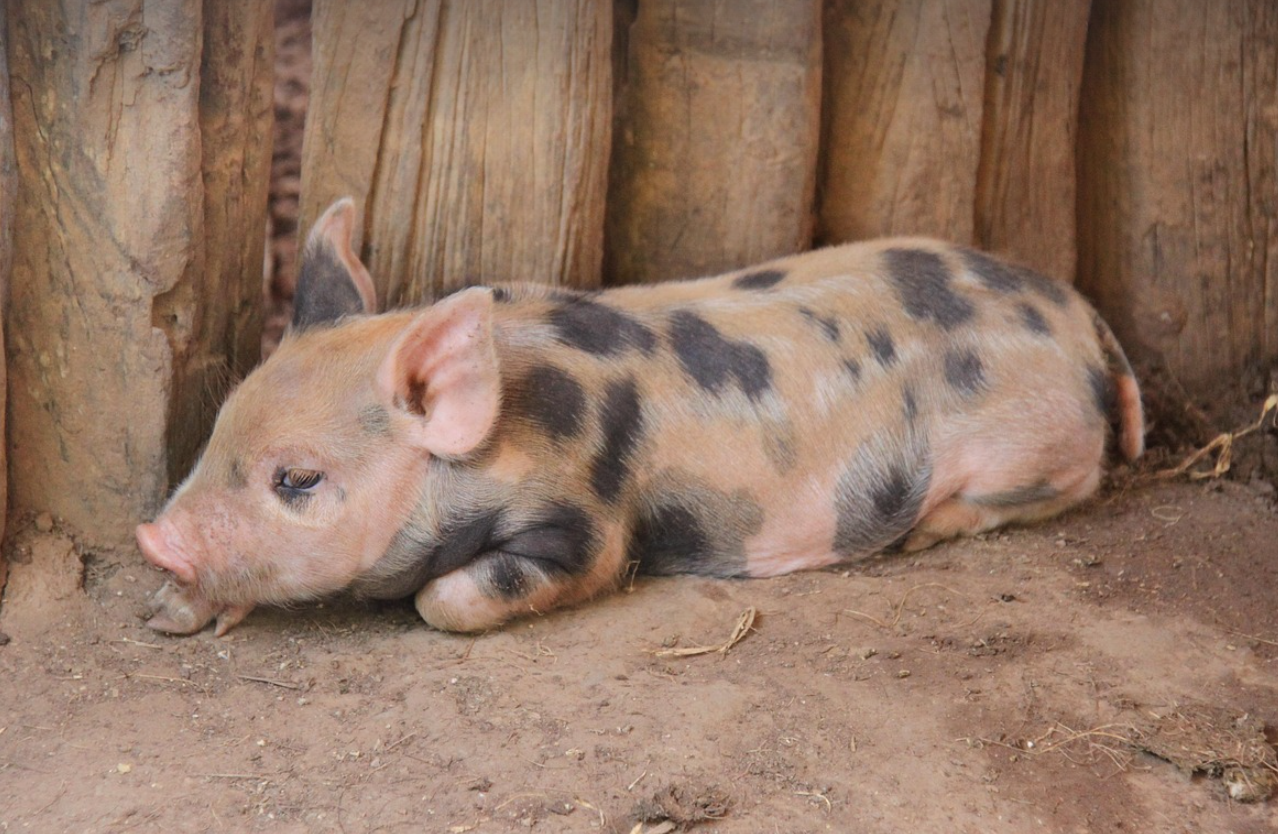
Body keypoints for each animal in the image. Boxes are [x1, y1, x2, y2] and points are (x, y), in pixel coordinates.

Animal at [137, 198, 1144, 636]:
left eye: (298, 479)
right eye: (216, 434)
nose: (155, 538)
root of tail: (1083, 318)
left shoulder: (588, 519)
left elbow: (448, 600)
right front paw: (169, 615)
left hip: (1033, 448)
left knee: (1067, 486)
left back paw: (931, 533)